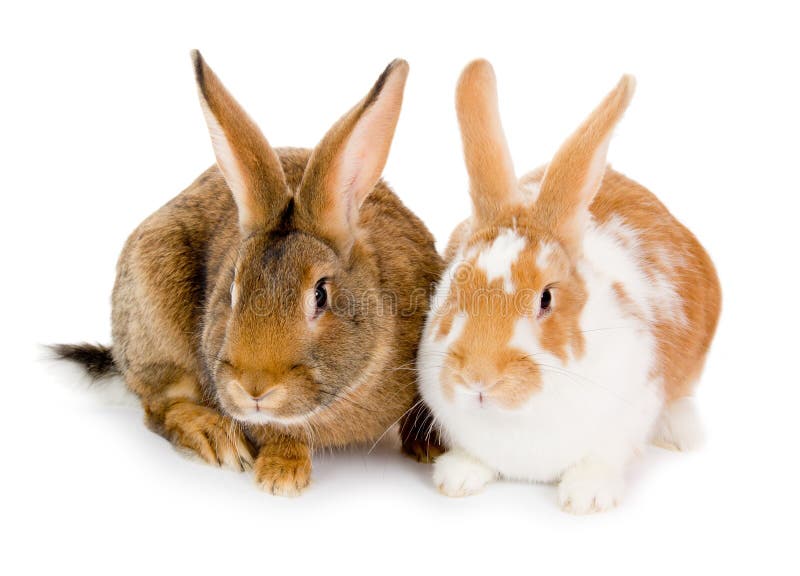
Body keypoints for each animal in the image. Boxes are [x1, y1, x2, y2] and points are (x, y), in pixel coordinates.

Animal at [54, 51, 444, 495]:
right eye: (232, 290)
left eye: (320, 295)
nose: (254, 387)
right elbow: (278, 432)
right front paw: (281, 476)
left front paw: (430, 446)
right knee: (158, 406)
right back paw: (214, 437)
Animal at [418, 60, 721, 513]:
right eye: (456, 285)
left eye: (546, 298)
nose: (478, 377)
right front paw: (457, 478)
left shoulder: (631, 409)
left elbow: (602, 458)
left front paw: (586, 497)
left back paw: (684, 435)